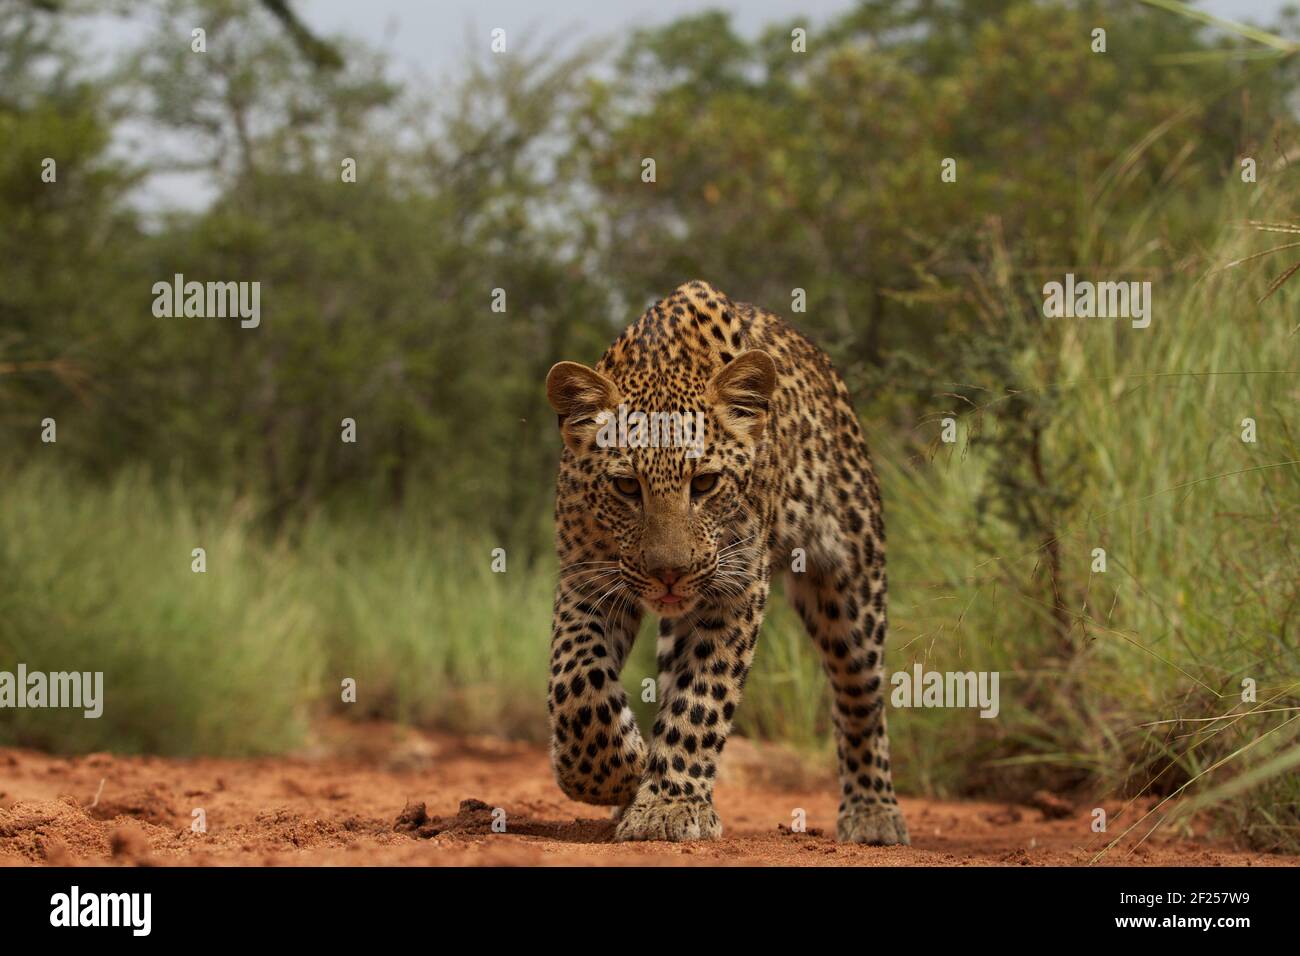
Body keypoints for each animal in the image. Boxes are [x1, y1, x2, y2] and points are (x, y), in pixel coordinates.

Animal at [544, 279, 909, 846]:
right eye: (626, 487)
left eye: (706, 483)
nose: (669, 573)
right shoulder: (587, 576)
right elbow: (576, 677)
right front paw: (609, 773)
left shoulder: (736, 590)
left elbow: (702, 698)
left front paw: (668, 805)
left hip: (852, 582)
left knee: (860, 695)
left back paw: (873, 812)